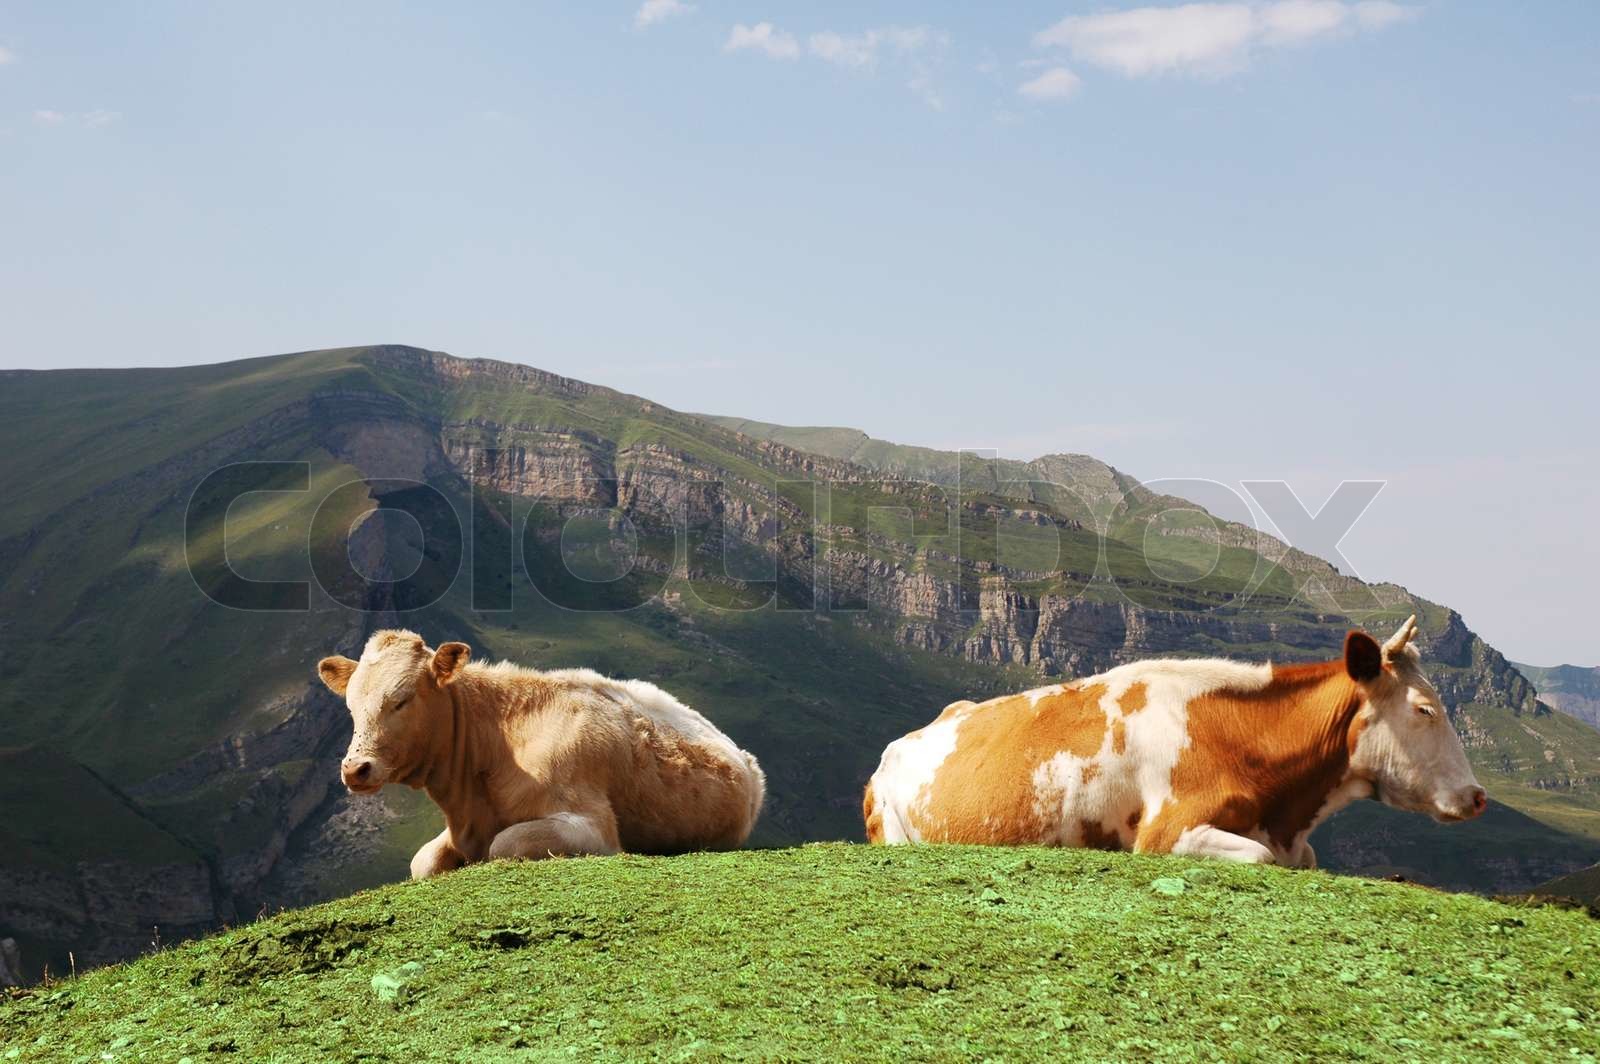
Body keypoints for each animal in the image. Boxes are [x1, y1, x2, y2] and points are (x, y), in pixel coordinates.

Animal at [316, 630, 766, 878]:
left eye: (402, 700)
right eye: (351, 707)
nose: (355, 769)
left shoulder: (594, 827)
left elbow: (505, 844)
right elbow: (422, 863)